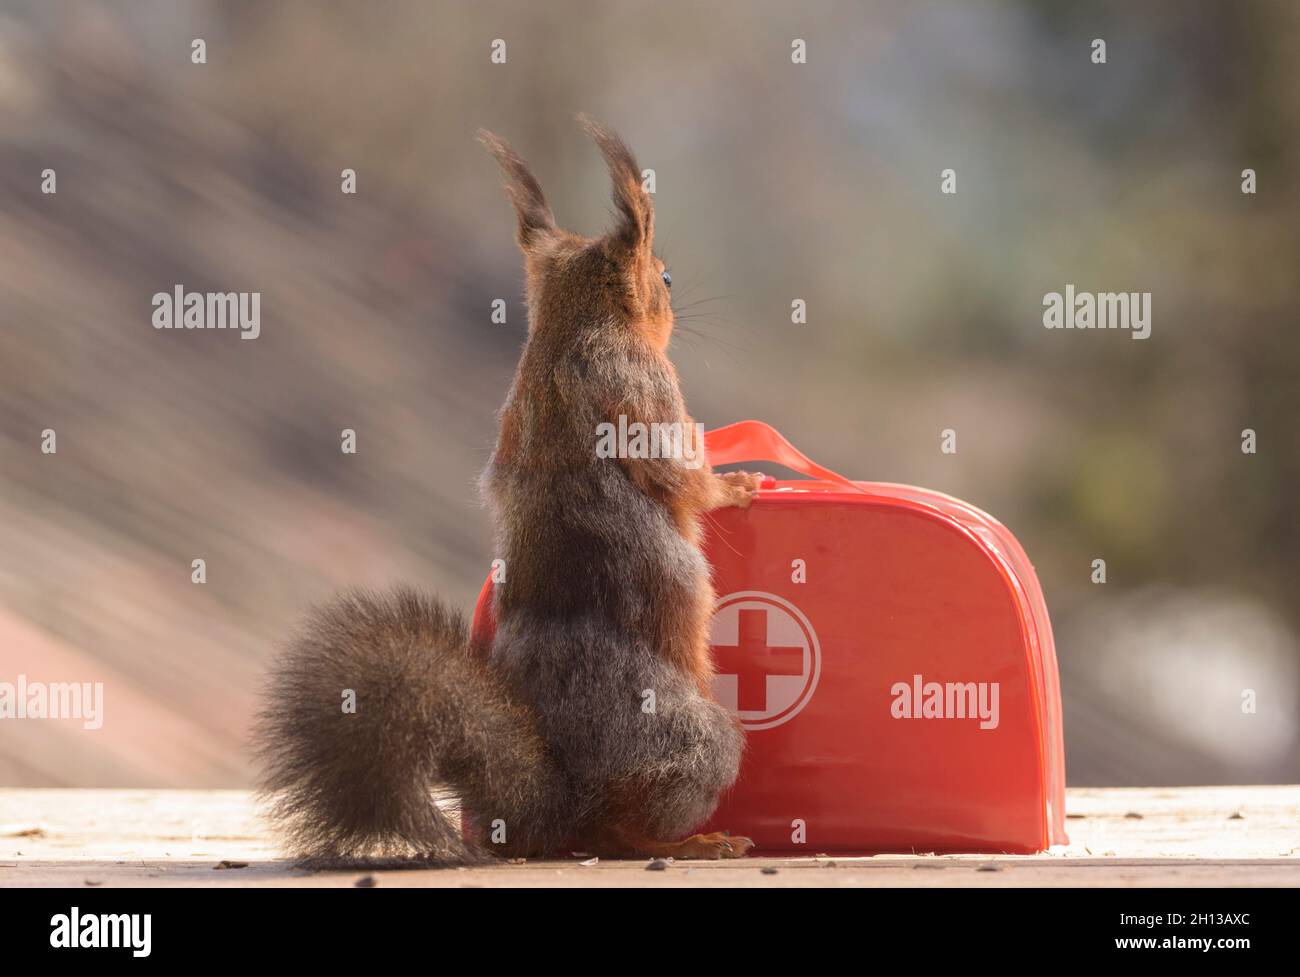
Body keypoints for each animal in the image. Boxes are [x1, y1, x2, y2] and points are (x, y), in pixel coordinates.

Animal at [254, 116, 763, 865]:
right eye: (664, 276)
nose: (678, 297)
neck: (569, 331)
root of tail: (562, 803)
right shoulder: (645, 386)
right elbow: (680, 474)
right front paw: (737, 485)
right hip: (698, 745)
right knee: (621, 832)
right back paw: (700, 842)